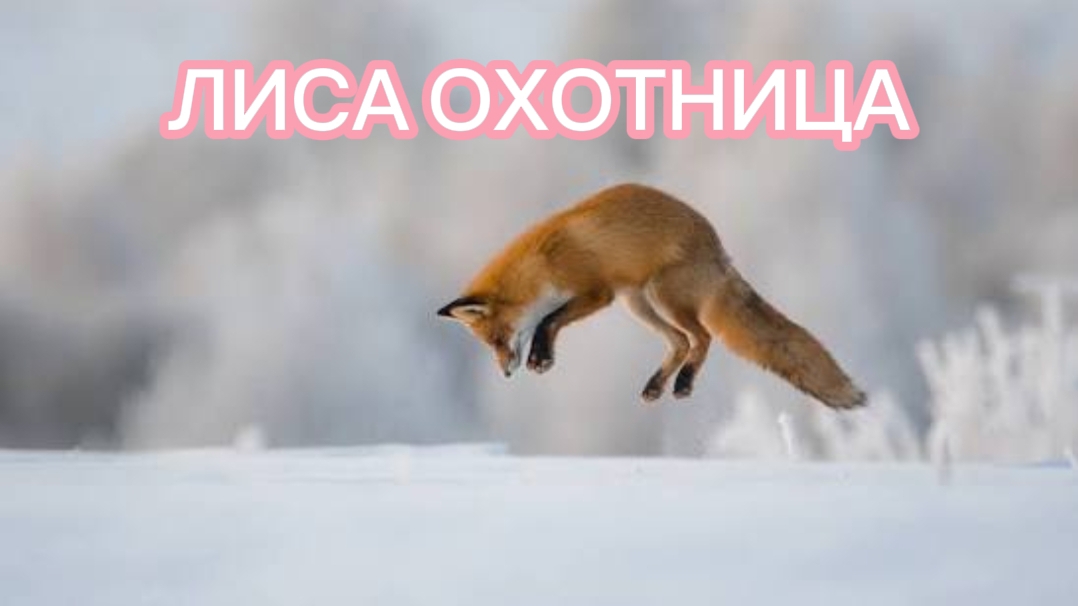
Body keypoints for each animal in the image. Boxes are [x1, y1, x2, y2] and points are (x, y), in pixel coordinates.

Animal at [437, 183, 866, 409]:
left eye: (498, 339)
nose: (506, 373)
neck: (544, 264)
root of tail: (719, 249)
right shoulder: (604, 297)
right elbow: (549, 319)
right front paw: (542, 357)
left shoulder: (597, 292)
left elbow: (548, 319)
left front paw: (541, 357)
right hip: (638, 304)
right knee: (680, 342)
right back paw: (657, 385)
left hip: (660, 295)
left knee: (701, 337)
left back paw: (684, 383)